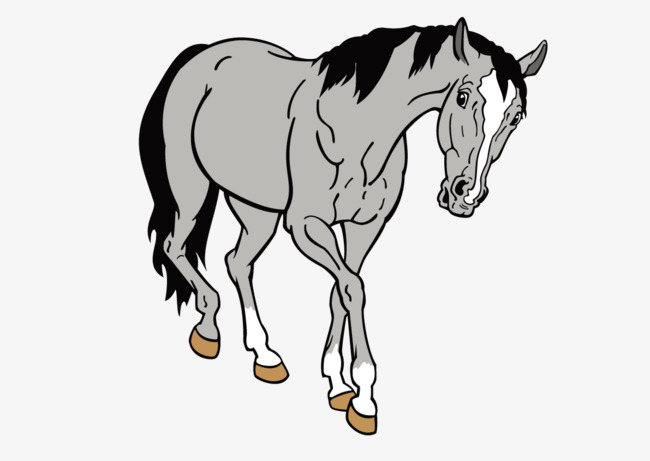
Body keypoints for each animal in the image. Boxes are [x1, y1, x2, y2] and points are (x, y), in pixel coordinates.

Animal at [139, 18, 547, 435]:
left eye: (515, 117)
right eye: (463, 97)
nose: (466, 194)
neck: (358, 129)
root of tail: (203, 53)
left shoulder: (364, 227)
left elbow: (341, 291)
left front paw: (338, 386)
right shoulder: (306, 225)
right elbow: (353, 288)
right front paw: (364, 400)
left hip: (257, 210)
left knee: (237, 262)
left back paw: (265, 355)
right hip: (192, 189)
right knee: (176, 247)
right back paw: (208, 327)